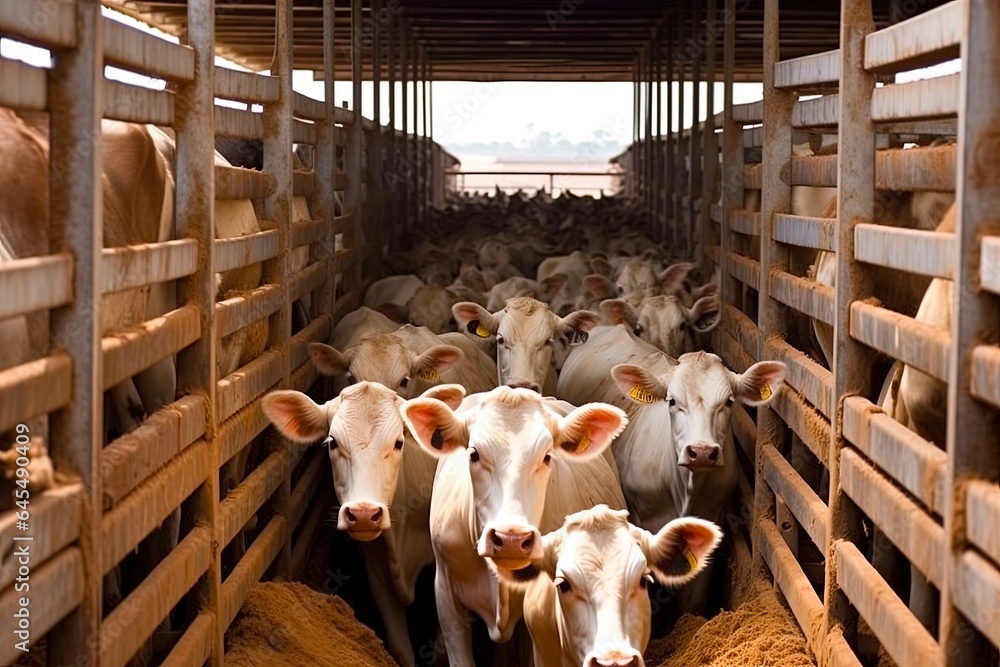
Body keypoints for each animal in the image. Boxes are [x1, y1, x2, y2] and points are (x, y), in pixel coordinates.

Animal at [261, 382, 462, 666]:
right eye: (333, 443)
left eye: (398, 443)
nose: (364, 513)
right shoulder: (377, 567)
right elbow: (400, 649)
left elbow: (443, 650)